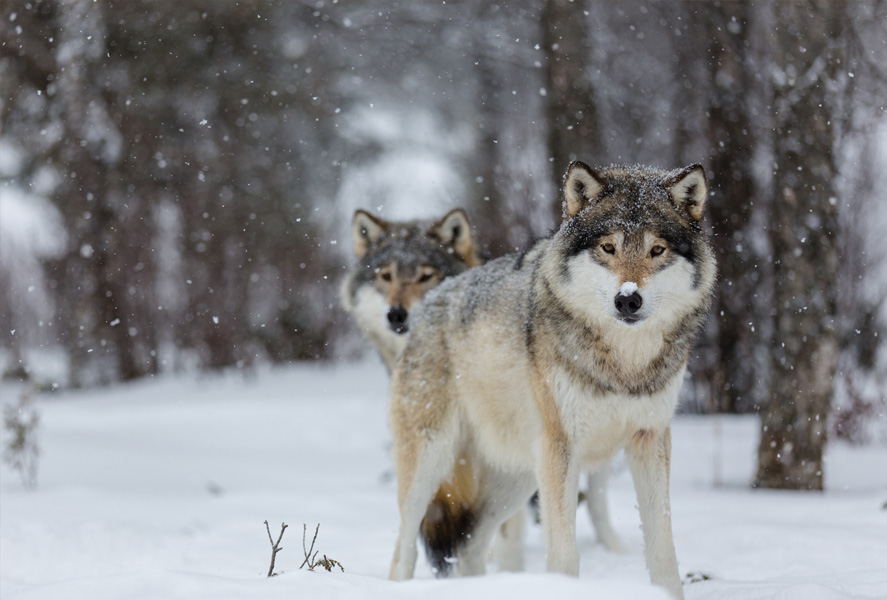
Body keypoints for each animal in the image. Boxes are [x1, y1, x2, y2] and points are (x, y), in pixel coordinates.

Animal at [388, 162, 716, 599]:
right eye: (608, 248)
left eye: (656, 250)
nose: (628, 299)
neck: (623, 365)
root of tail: (430, 301)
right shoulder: (563, 449)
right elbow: (564, 556)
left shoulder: (650, 439)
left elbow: (663, 550)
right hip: (432, 462)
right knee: (404, 546)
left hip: (518, 478)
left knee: (471, 546)